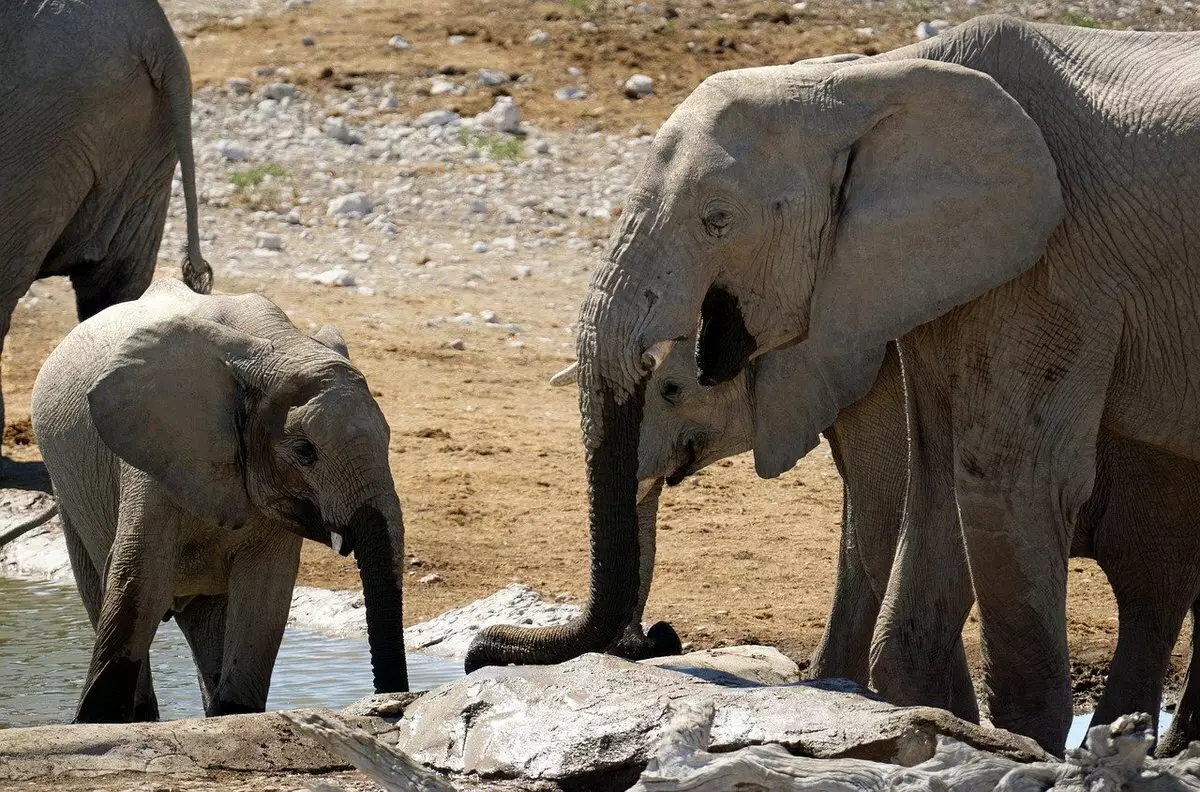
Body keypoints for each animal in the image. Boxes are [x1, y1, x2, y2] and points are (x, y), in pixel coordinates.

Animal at [28, 279, 410, 724]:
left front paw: (236, 715)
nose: (391, 705)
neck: (276, 345)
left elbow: (266, 591)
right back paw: (139, 718)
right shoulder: (154, 449)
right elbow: (138, 575)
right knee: (100, 586)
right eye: (304, 451)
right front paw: (94, 722)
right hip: (67, 490)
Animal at [465, 15, 1200, 753]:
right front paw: (914, 717)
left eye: (717, 219)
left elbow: (990, 480)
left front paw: (1015, 748)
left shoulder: (1060, 267)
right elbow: (937, 480)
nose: (476, 654)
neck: (873, 79)